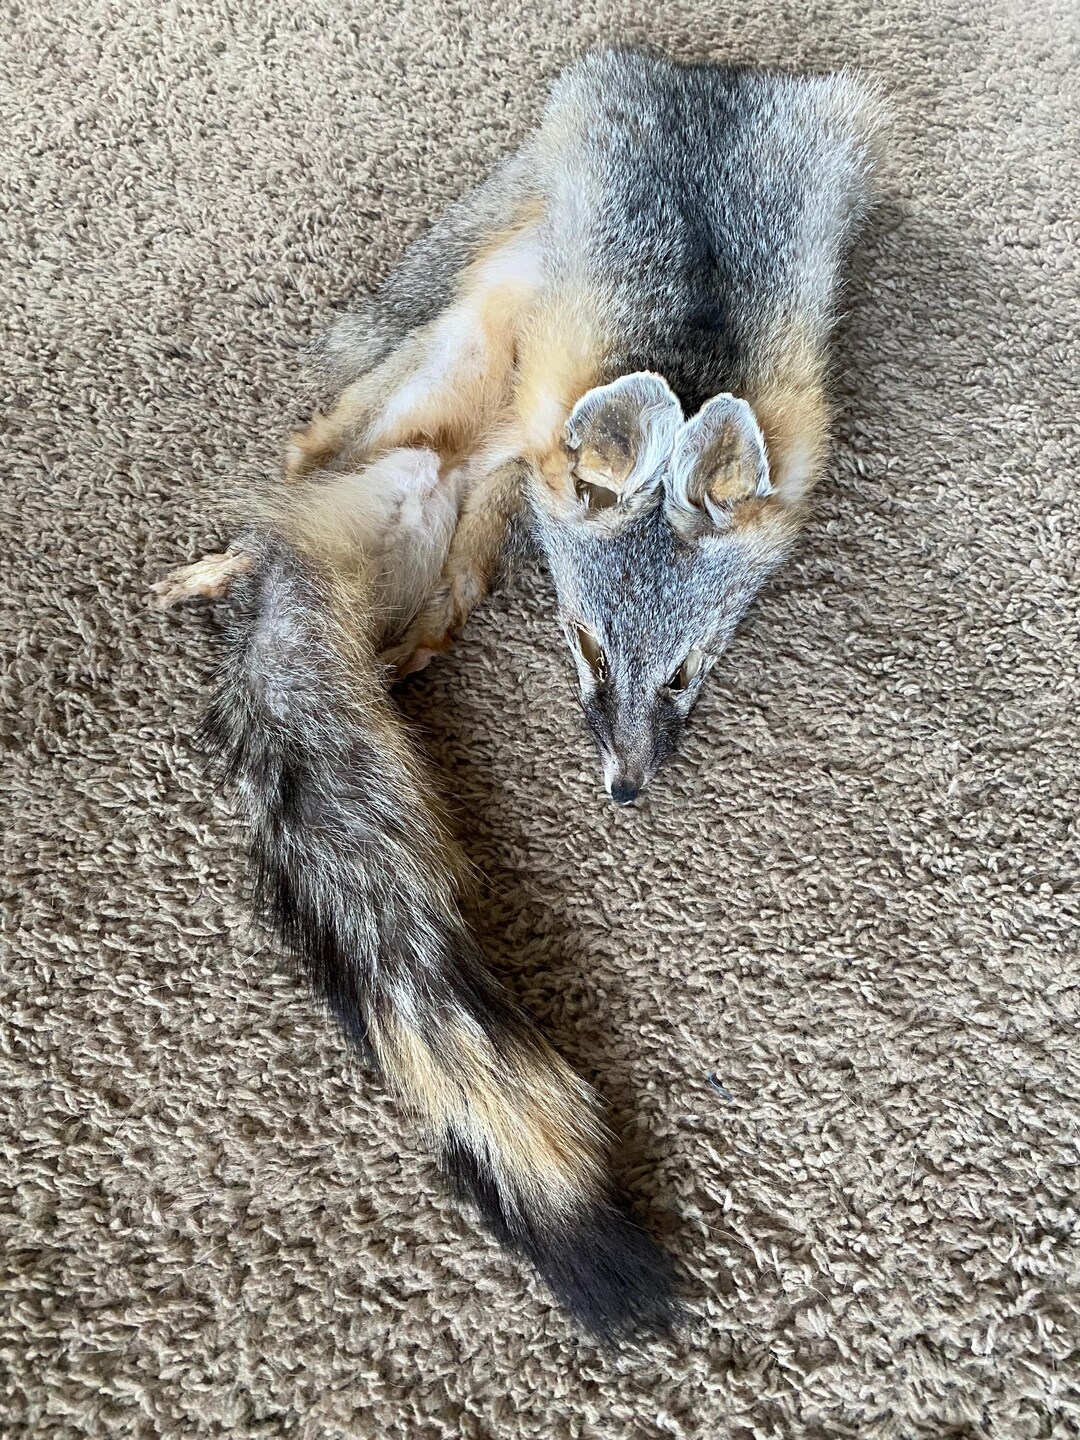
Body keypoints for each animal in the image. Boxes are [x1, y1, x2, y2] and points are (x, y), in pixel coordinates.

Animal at [154, 48, 884, 1340]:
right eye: (587, 651)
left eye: (683, 672)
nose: (629, 790)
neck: (692, 343)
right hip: (407, 404)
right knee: (294, 472)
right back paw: (235, 550)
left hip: (470, 534)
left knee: (403, 581)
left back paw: (382, 632)